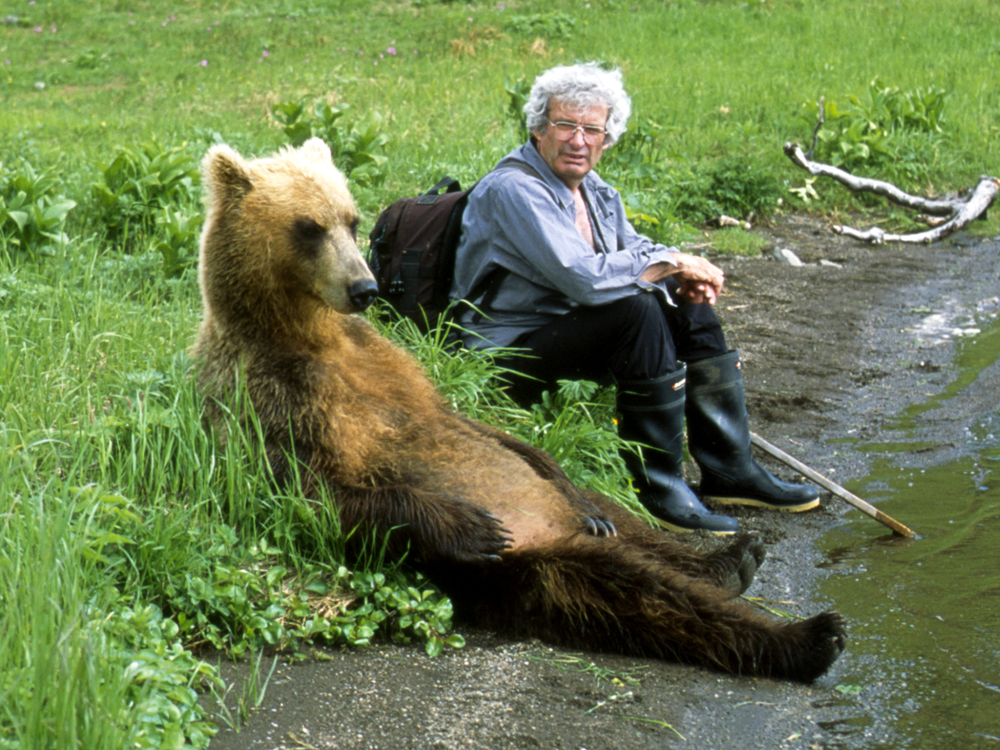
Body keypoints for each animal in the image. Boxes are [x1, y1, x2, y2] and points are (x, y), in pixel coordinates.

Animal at [192, 138, 846, 682]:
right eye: (309, 227)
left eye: (350, 220)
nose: (364, 287)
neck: (308, 334)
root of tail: (559, 535)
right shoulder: (271, 396)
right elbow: (308, 494)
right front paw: (471, 524)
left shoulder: (391, 367)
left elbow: (466, 423)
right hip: (536, 569)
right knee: (642, 595)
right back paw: (809, 635)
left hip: (564, 519)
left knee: (626, 519)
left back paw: (729, 557)